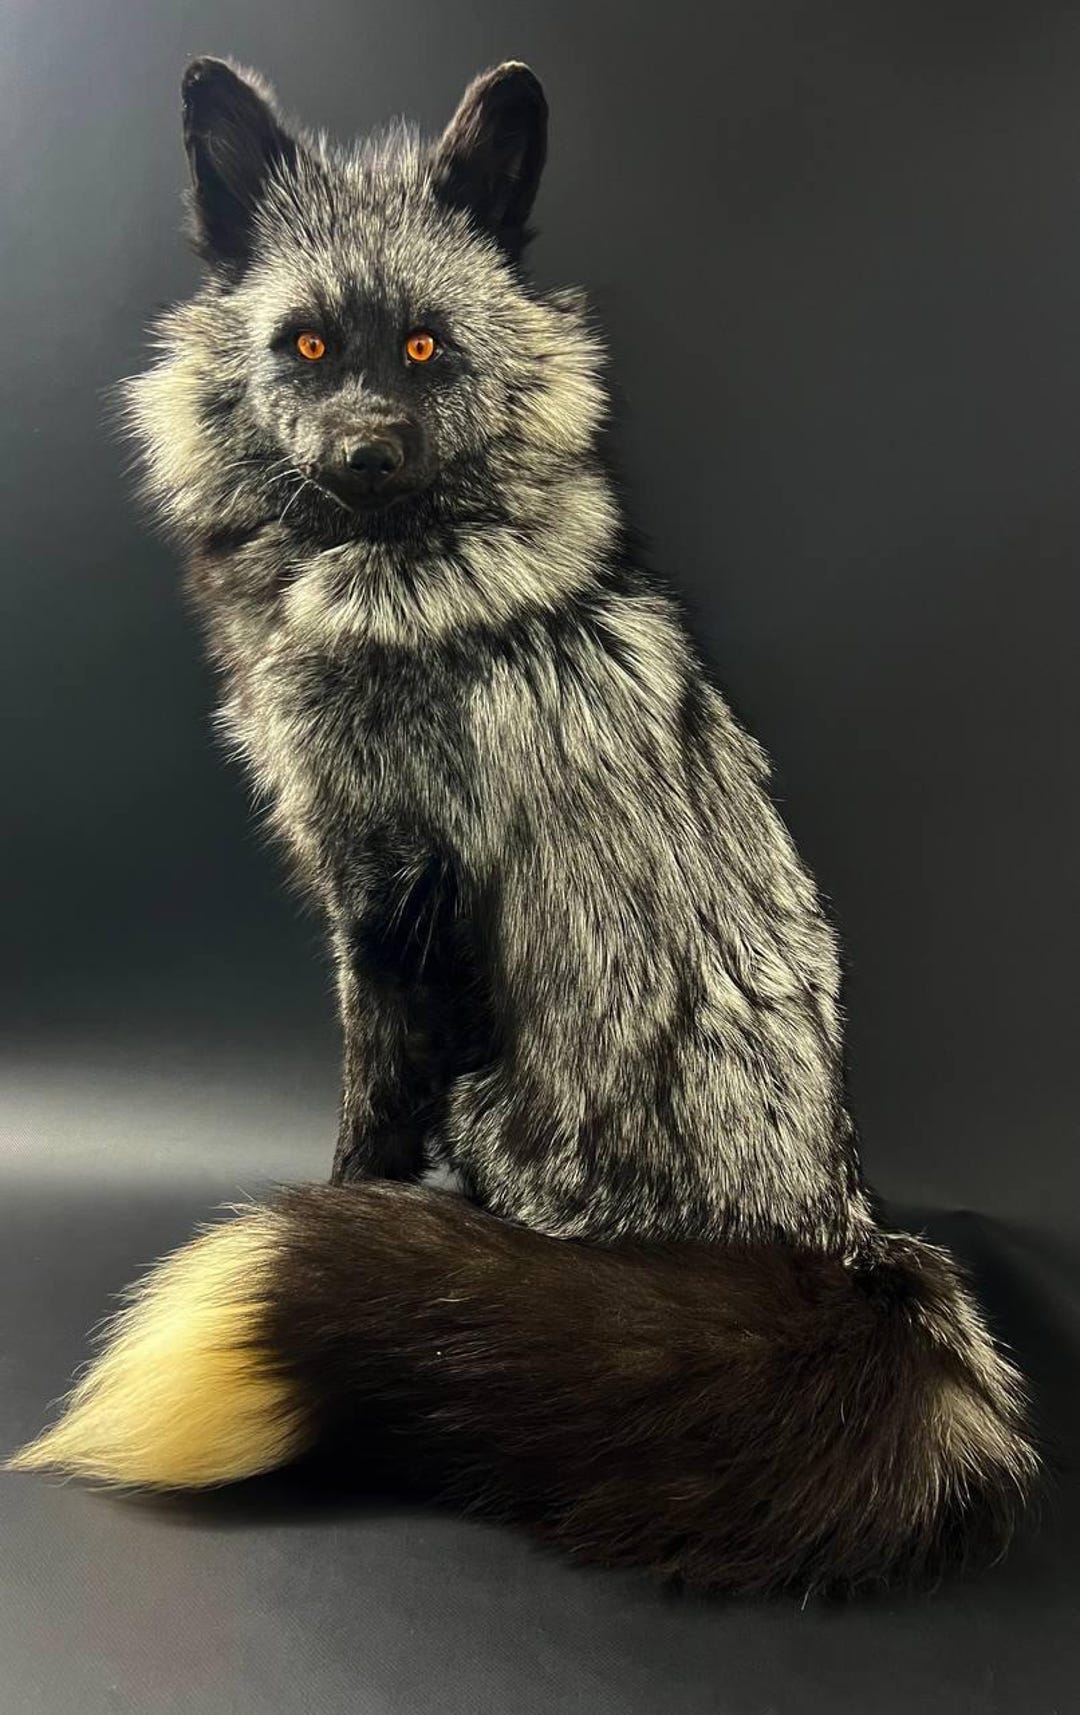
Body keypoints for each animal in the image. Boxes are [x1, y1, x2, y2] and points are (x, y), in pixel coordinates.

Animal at [9, 57, 1037, 1594]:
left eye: (426, 348)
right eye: (307, 344)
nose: (367, 451)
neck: (396, 567)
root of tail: (846, 1243)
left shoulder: (396, 900)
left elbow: (370, 1114)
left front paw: (343, 1219)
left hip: (503, 1111)